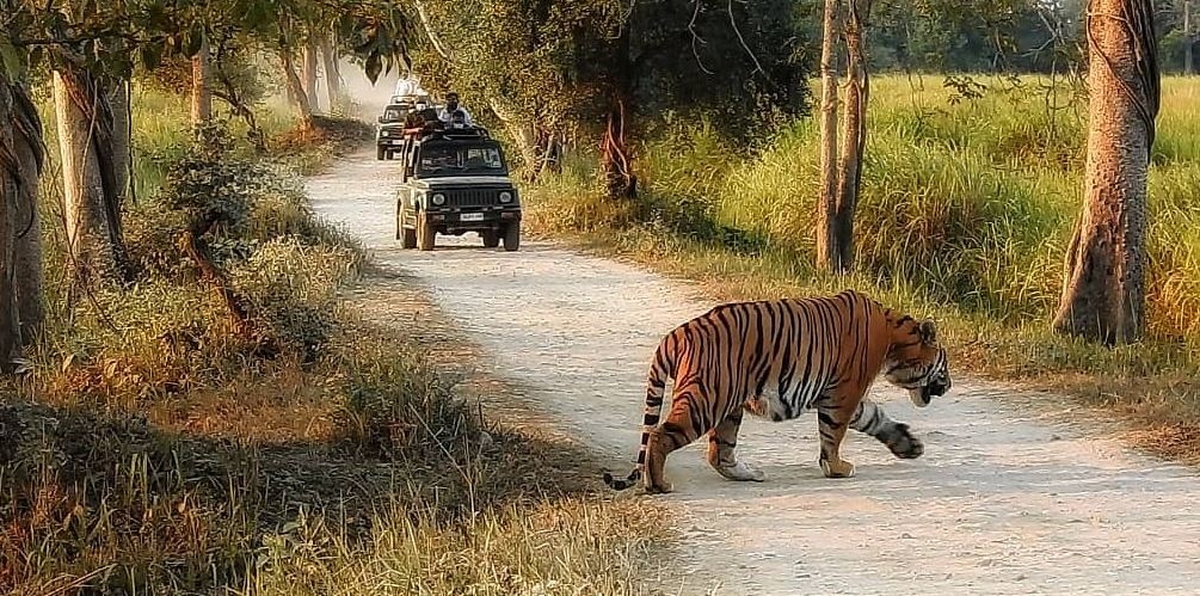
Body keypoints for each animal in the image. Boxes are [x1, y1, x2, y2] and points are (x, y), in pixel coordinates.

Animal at [602, 289, 951, 494]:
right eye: (945, 365)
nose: (948, 386)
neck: (894, 338)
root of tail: (675, 335)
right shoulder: (843, 393)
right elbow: (834, 433)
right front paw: (837, 468)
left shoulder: (843, 394)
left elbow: (874, 418)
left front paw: (909, 445)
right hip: (705, 401)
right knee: (660, 436)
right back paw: (658, 484)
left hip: (727, 406)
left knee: (719, 451)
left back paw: (748, 474)